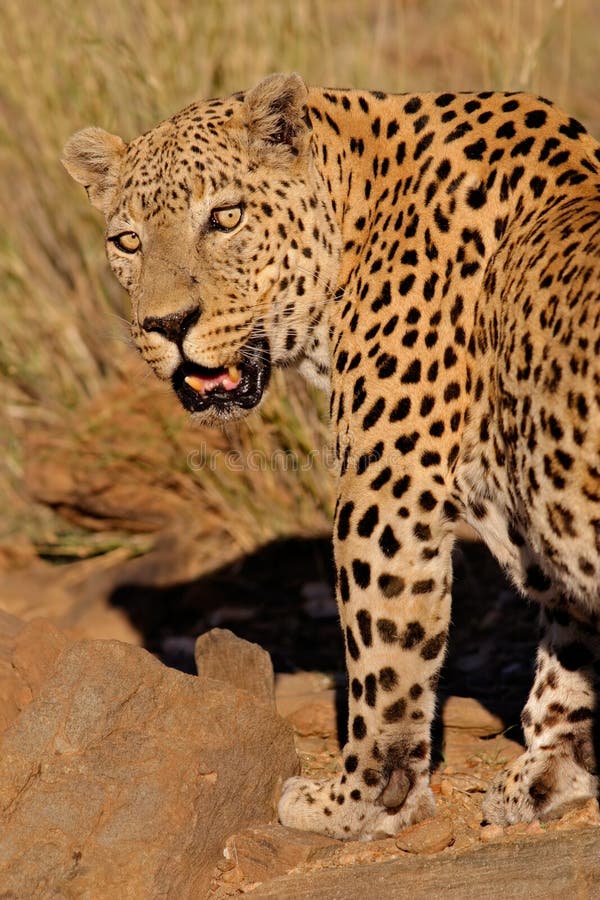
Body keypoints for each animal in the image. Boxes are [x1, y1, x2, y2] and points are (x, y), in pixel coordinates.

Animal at [63, 73, 600, 841]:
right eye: (128, 240)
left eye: (225, 217)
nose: (166, 324)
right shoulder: (533, 509)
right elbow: (570, 640)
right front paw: (555, 768)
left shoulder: (389, 495)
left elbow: (384, 661)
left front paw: (361, 800)